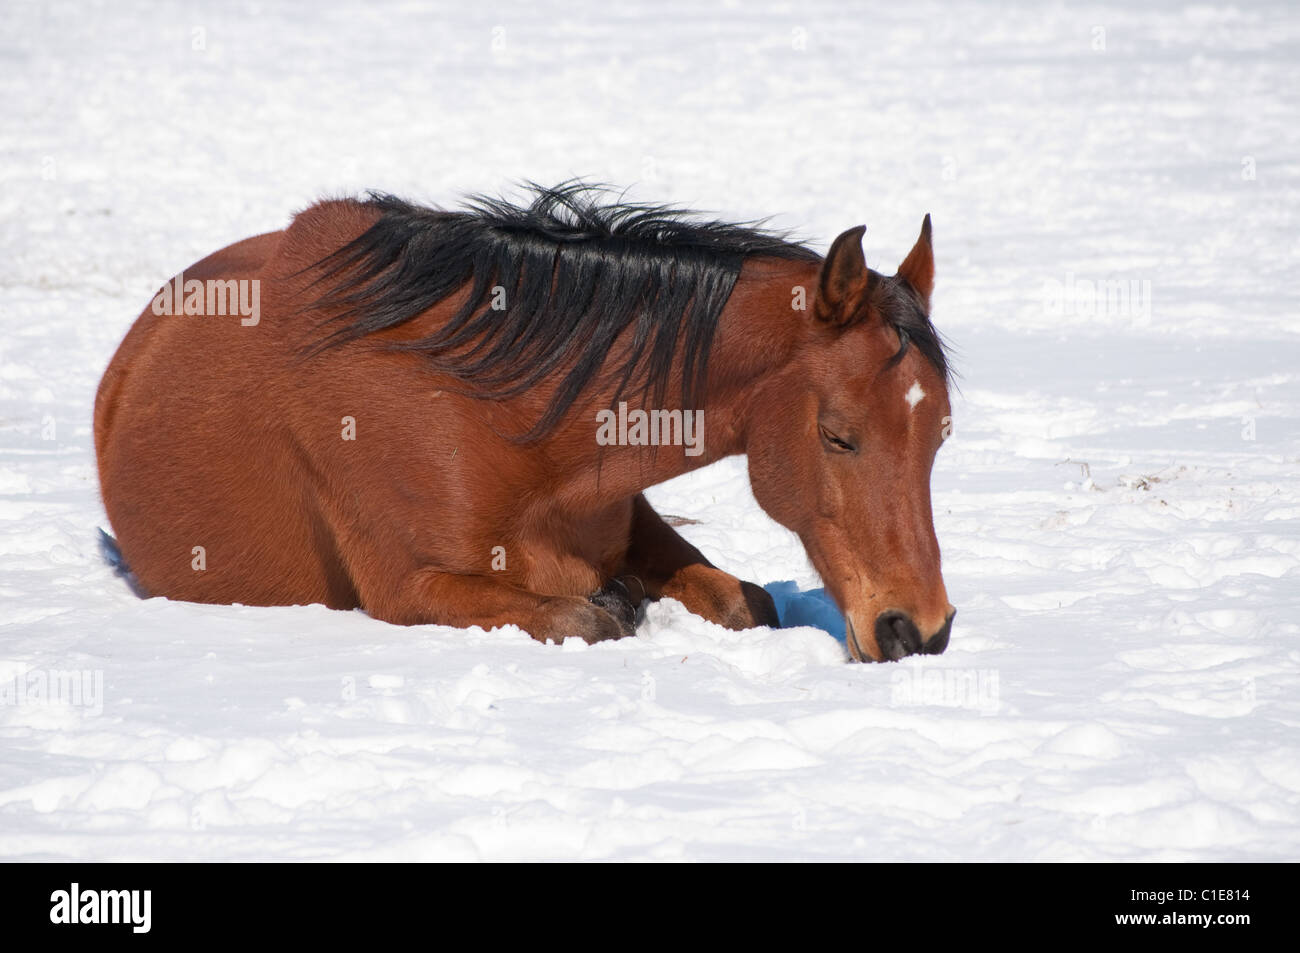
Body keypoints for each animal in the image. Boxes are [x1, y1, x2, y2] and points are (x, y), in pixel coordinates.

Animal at [94, 182, 954, 662]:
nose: (920, 629)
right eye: (837, 435)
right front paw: (616, 604)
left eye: (940, 433)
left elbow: (748, 601)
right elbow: (585, 618)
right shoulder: (412, 587)